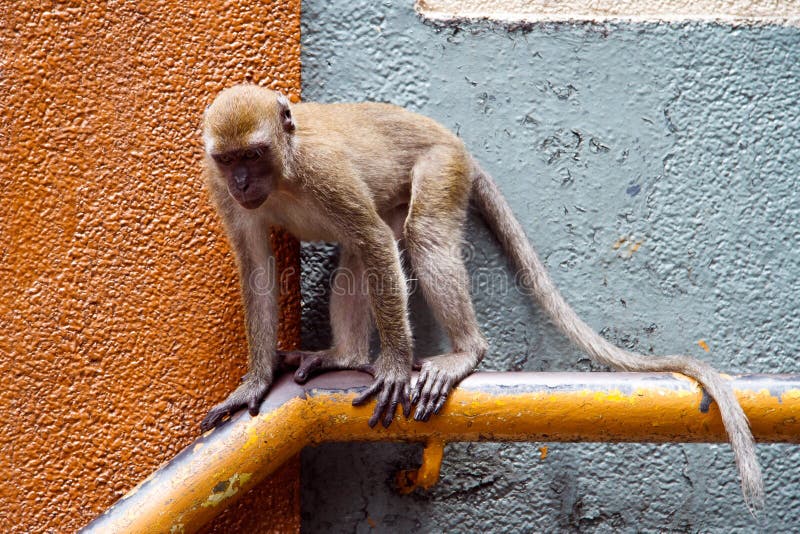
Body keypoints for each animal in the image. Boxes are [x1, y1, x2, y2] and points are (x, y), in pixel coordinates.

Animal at [198, 84, 763, 510]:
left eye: (254, 154)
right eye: (230, 160)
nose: (243, 181)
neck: (284, 172)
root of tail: (450, 137)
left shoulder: (323, 170)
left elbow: (376, 240)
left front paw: (396, 367)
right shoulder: (219, 187)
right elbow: (257, 267)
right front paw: (255, 383)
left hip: (443, 167)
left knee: (415, 234)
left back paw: (464, 351)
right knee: (360, 255)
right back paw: (348, 355)